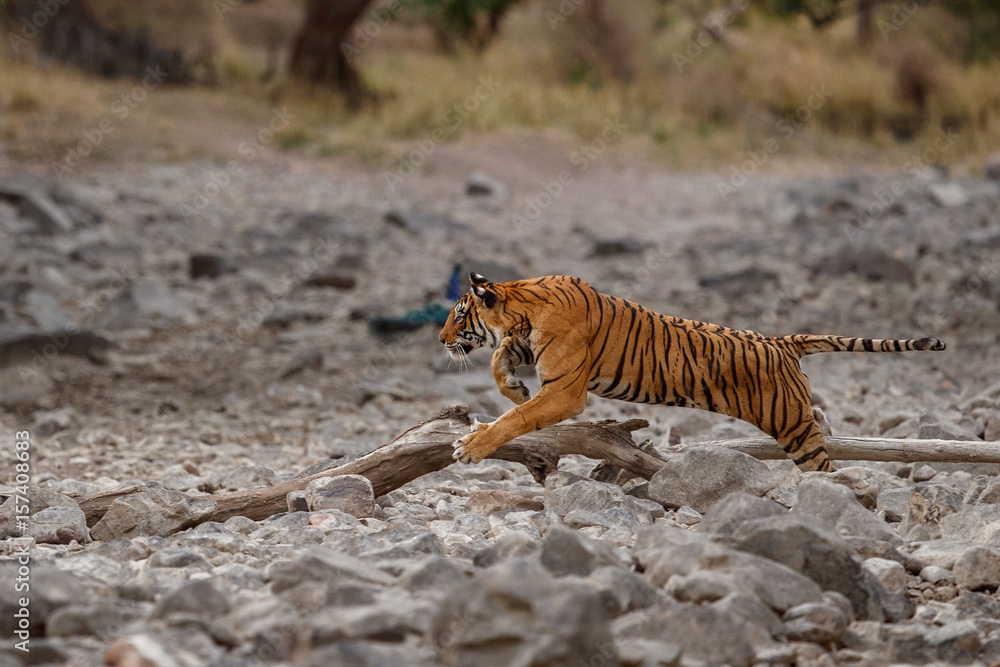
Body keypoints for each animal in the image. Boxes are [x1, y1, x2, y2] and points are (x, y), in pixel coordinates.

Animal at [438, 273, 945, 472]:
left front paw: (472, 445)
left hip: (792, 427)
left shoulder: (566, 390)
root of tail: (781, 342)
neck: (522, 304)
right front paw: (514, 389)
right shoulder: (524, 346)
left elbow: (517, 420)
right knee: (822, 425)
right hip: (799, 417)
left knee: (824, 464)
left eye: (458, 315)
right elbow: (498, 362)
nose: (441, 339)